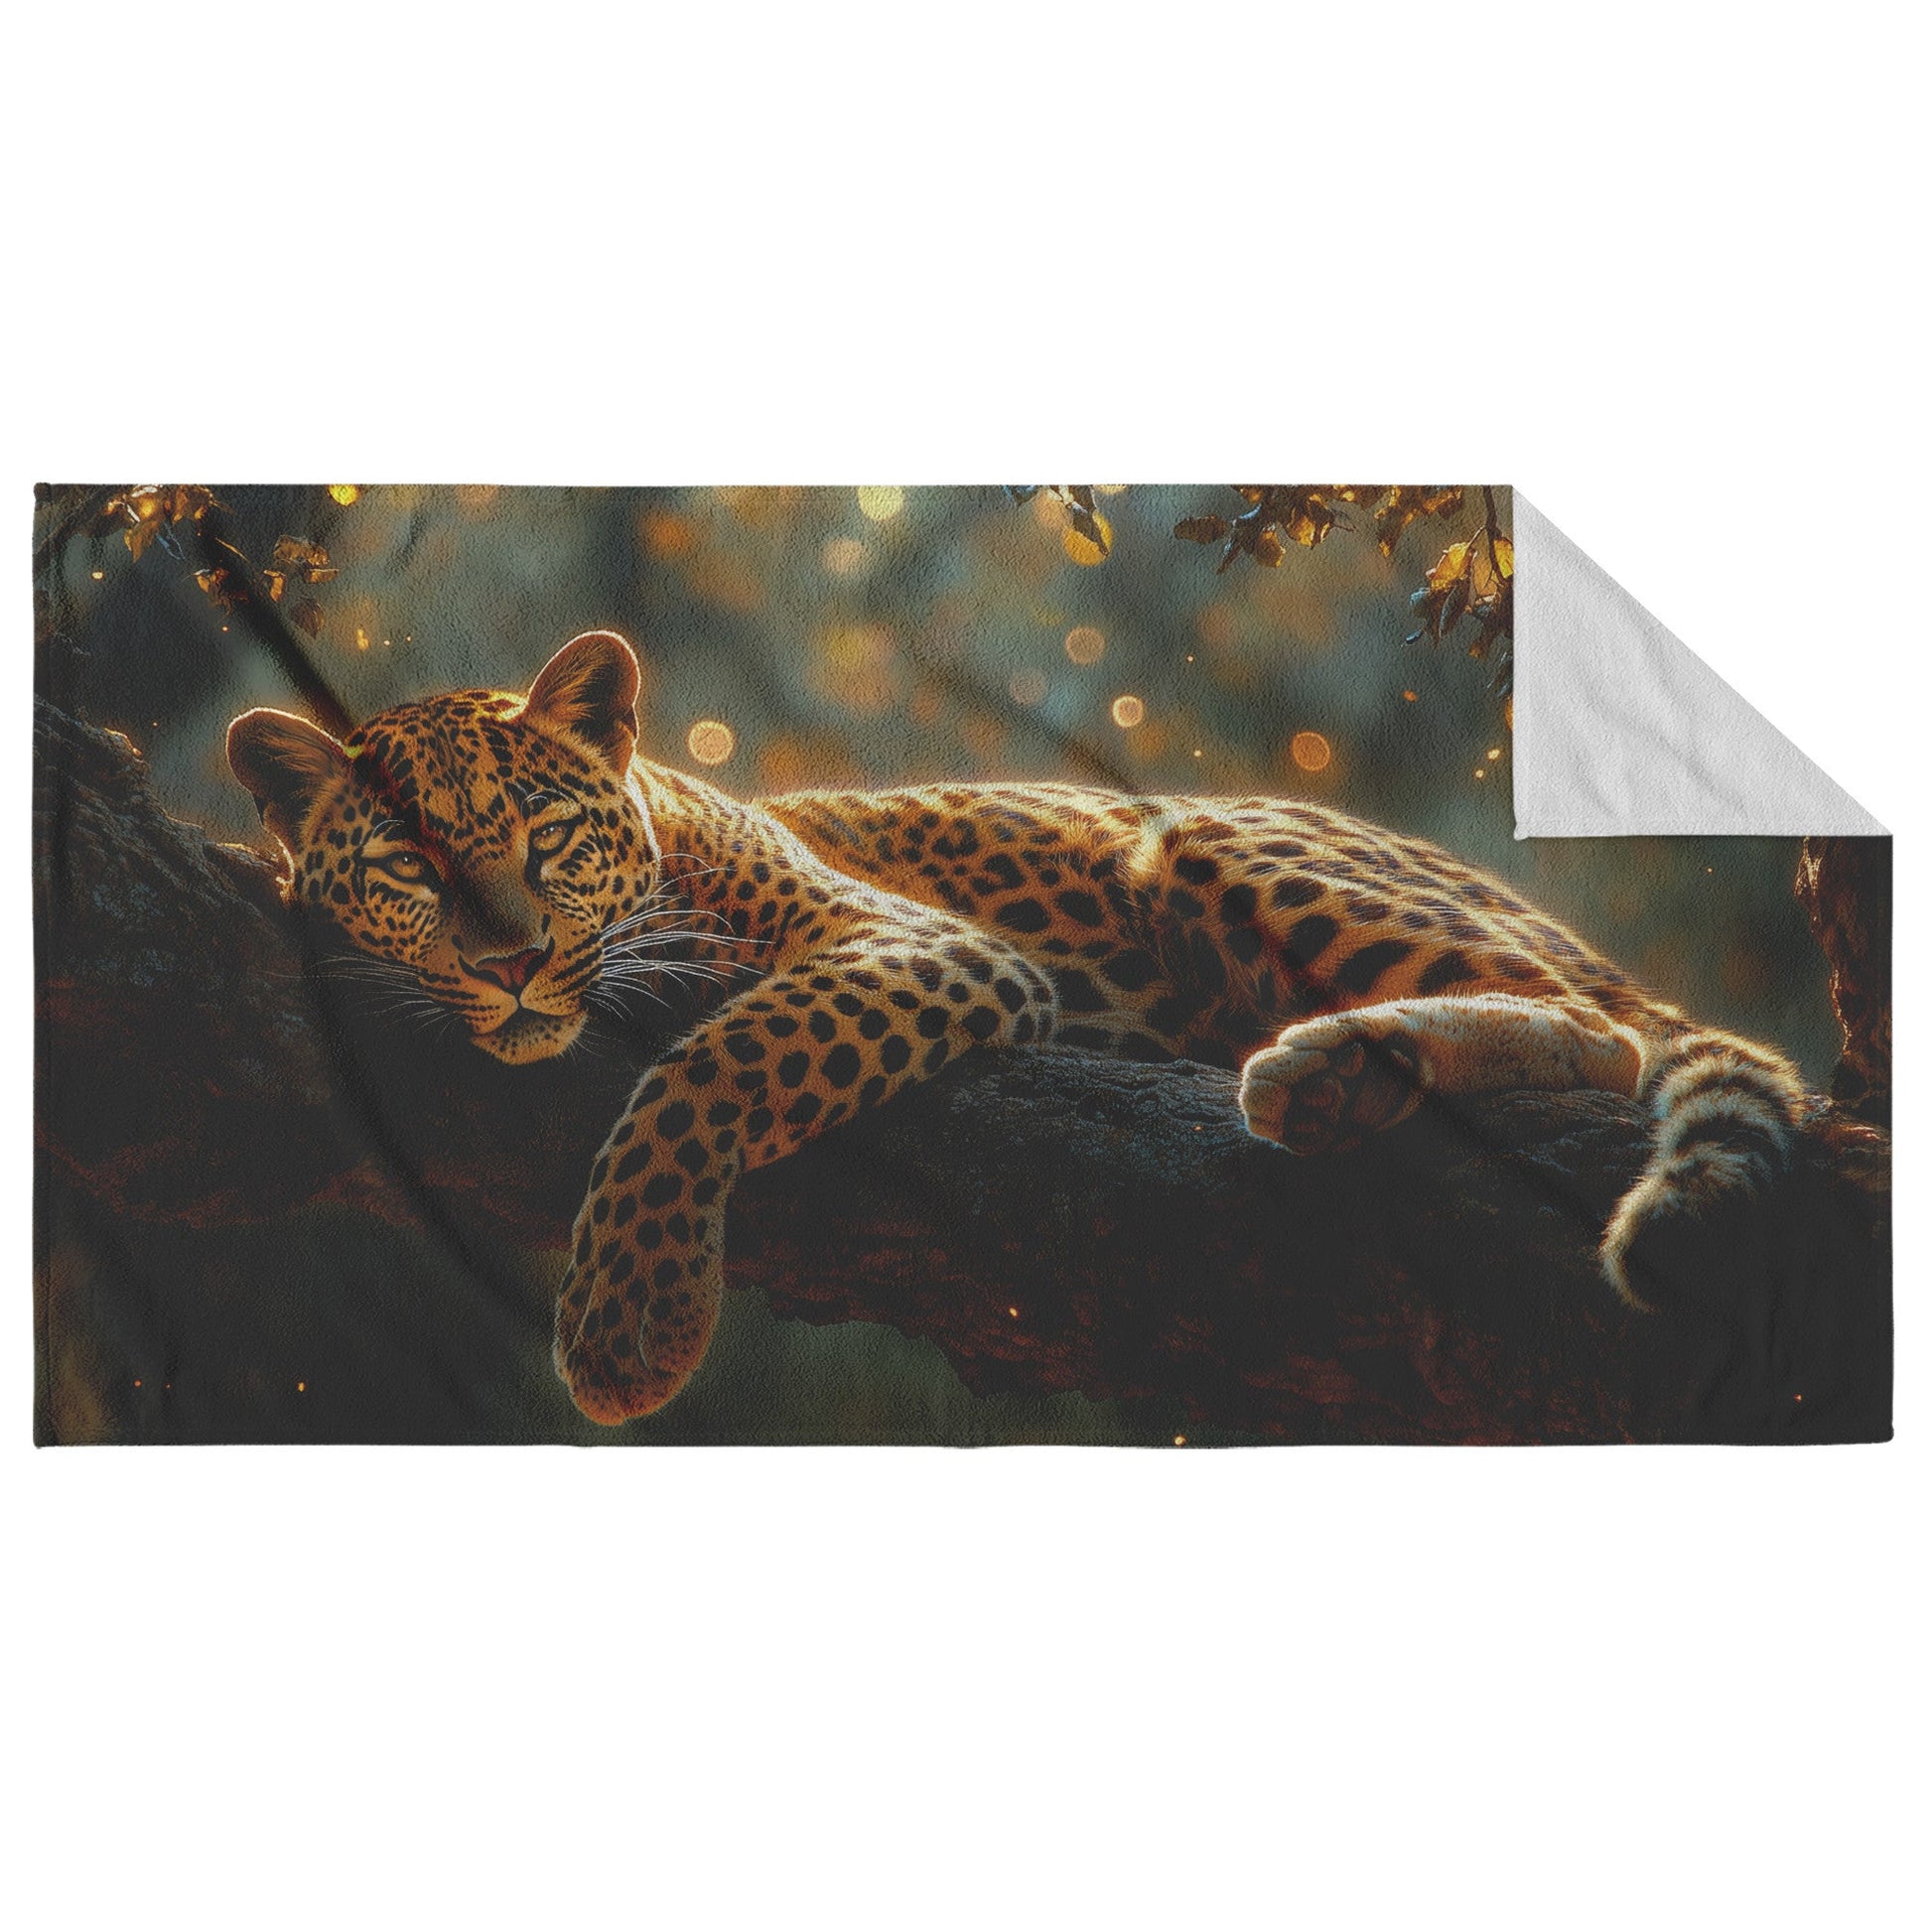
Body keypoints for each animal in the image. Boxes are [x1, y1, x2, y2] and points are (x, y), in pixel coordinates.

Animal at [227, 629, 1809, 1425]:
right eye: (410, 865)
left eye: (545, 836)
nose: (509, 961)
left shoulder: (928, 944)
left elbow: (710, 1059)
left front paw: (631, 1321)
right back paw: (1341, 1078)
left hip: (1211, 837)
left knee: (1607, 1030)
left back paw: (1325, 1062)